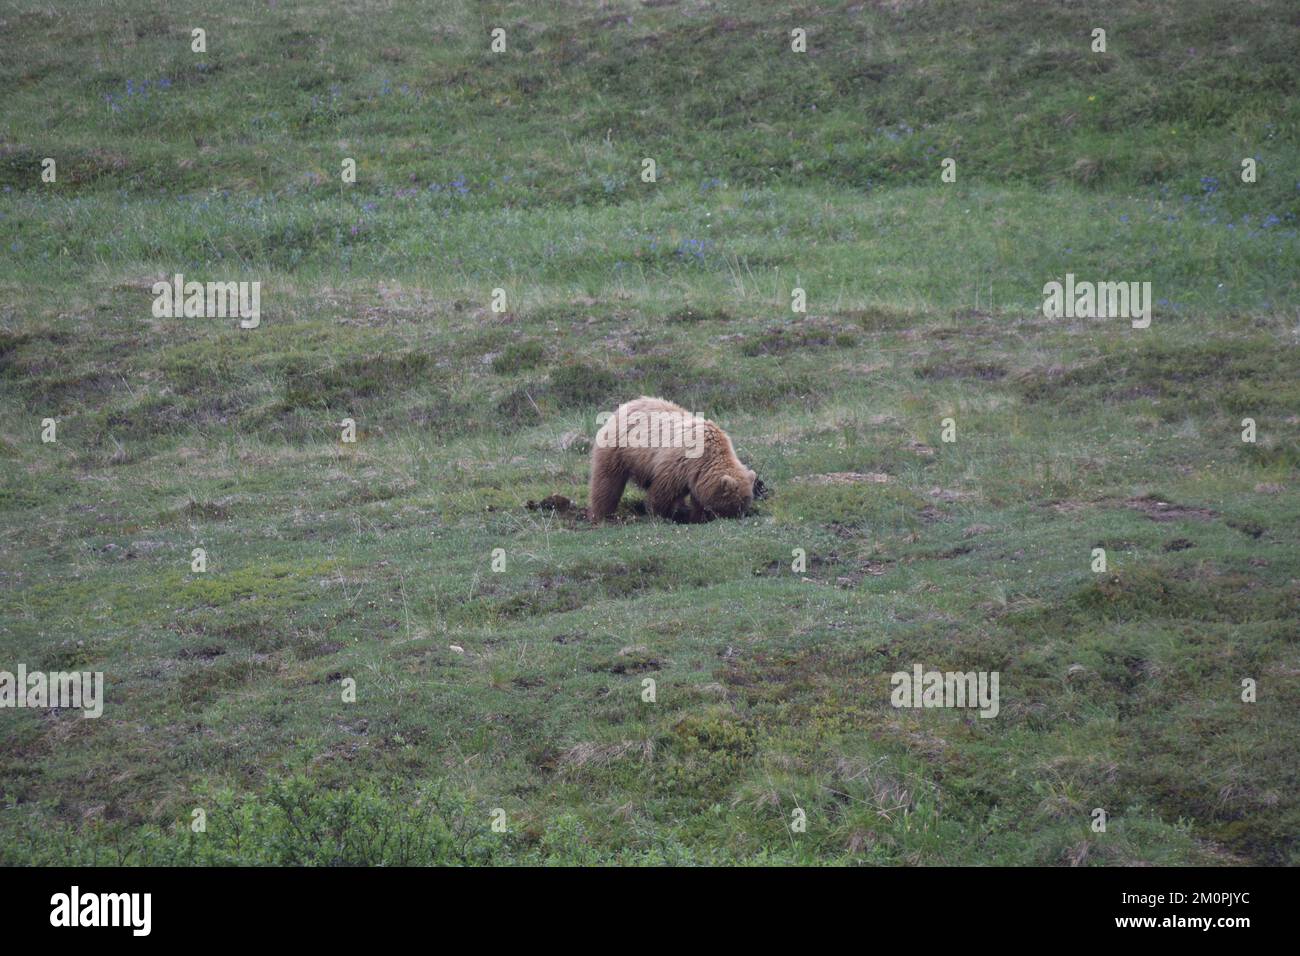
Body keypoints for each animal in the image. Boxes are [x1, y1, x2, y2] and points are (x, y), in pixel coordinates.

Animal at [588, 396, 758, 523]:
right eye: (733, 506)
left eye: (744, 505)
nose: (738, 517)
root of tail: (622, 408)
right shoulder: (679, 463)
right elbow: (664, 491)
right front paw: (660, 515)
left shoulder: (698, 475)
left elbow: (697, 499)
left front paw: (696, 517)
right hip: (618, 449)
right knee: (608, 482)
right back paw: (603, 515)